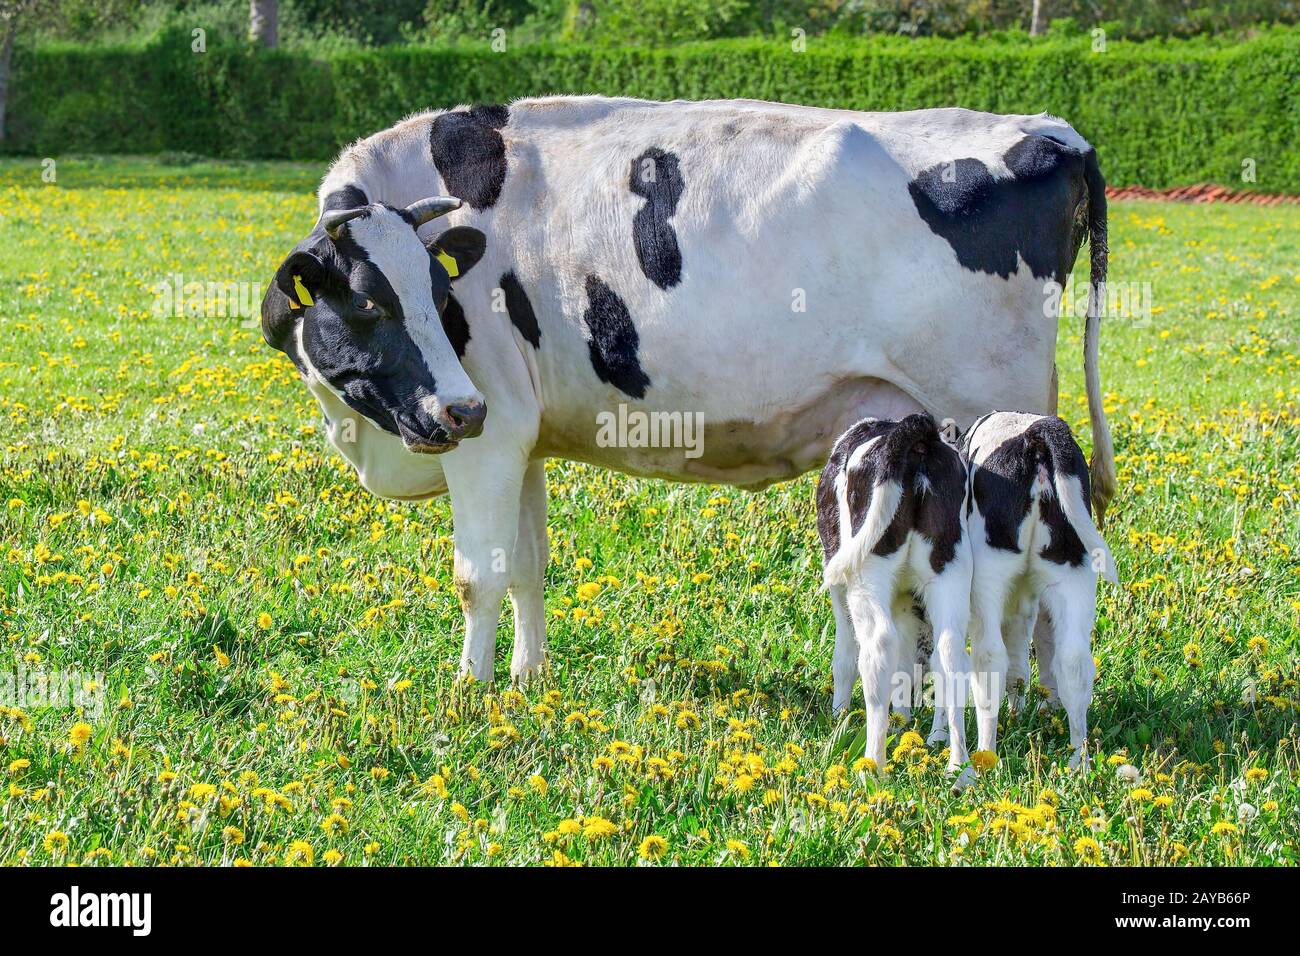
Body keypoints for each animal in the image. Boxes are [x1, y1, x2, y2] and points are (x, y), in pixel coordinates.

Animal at [260, 95, 1116, 686]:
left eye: (437, 298)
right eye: (368, 303)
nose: (454, 409)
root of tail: (1054, 132)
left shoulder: (491, 432)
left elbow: (481, 575)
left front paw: (471, 691)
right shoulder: (521, 434)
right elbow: (529, 564)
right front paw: (530, 682)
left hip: (988, 419)